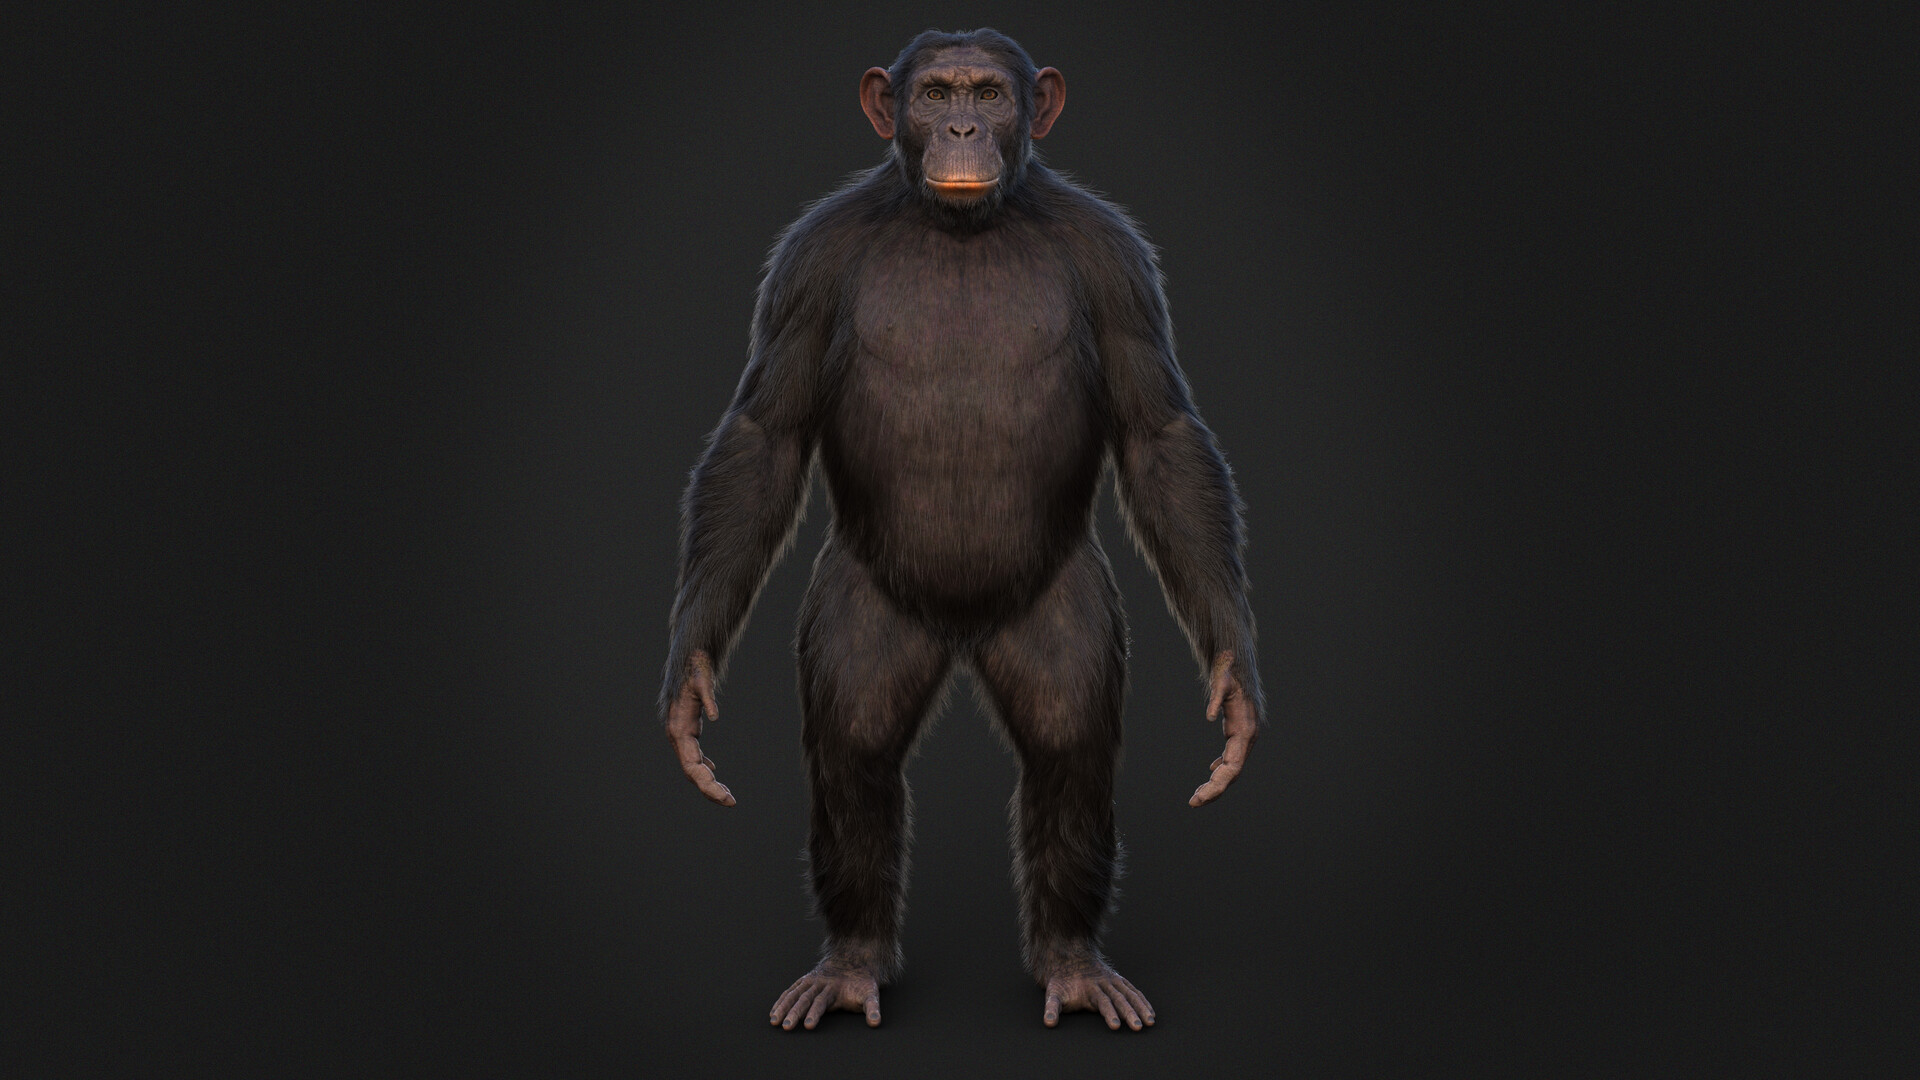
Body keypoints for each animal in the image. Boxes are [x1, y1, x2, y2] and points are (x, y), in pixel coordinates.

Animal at [659, 28, 1262, 1032]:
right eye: (935, 93)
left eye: (989, 92)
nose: (964, 129)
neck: (960, 228)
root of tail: (963, 630)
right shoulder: (808, 262)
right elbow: (765, 437)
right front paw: (689, 683)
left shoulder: (1117, 261)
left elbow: (1159, 436)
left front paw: (1235, 681)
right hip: (866, 610)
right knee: (857, 745)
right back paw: (852, 963)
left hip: (1056, 610)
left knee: (1066, 744)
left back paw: (1072, 964)